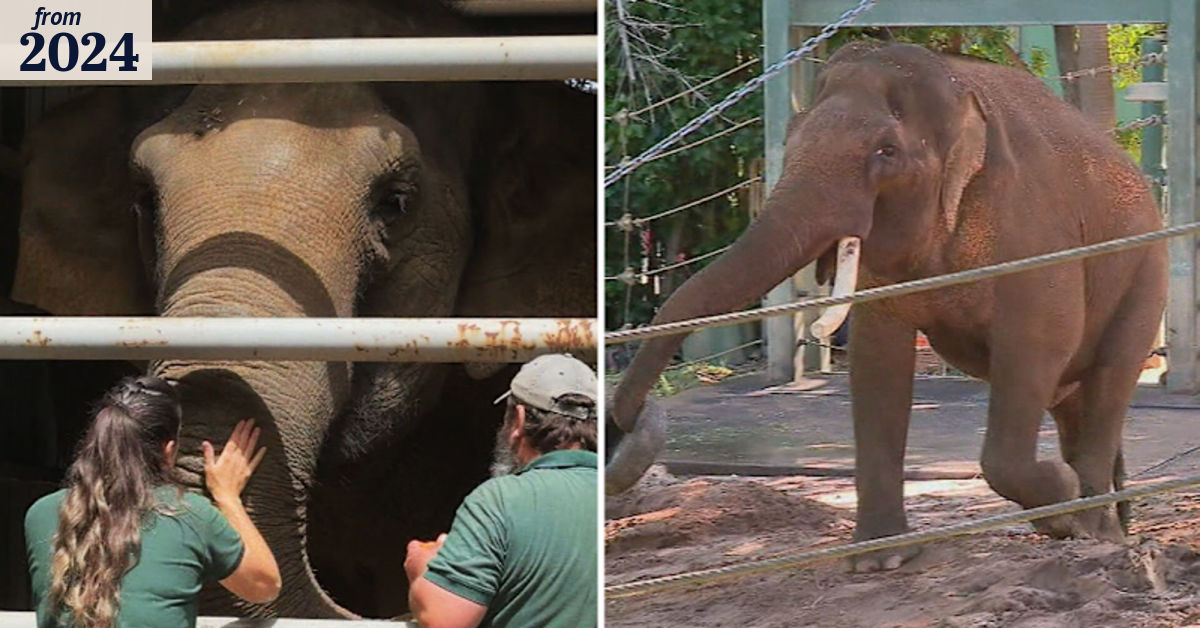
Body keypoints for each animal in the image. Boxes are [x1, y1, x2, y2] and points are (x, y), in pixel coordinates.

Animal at [607, 42, 1166, 573]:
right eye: (790, 140)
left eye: (887, 151)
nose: (628, 424)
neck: (954, 88)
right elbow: (877, 358)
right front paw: (879, 559)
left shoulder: (1036, 235)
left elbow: (1037, 342)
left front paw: (1061, 497)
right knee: (1074, 401)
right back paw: (1105, 523)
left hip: (1145, 272)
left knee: (1110, 379)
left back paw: (1093, 526)